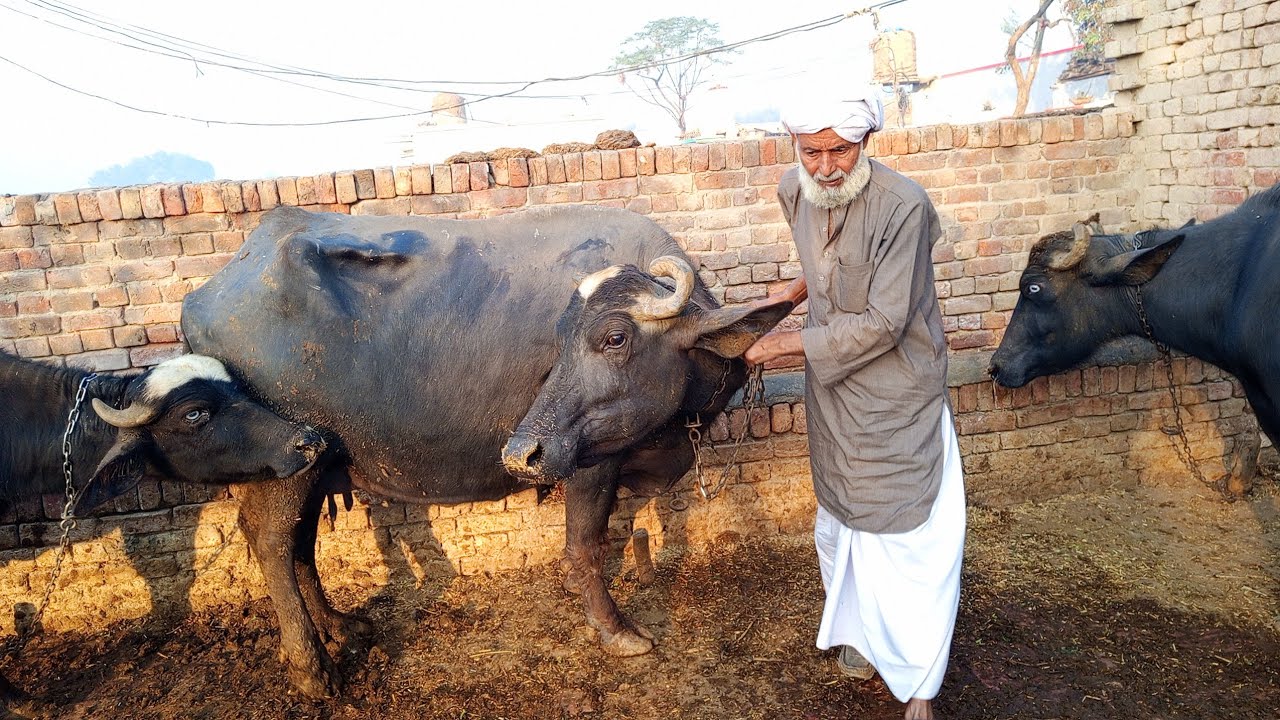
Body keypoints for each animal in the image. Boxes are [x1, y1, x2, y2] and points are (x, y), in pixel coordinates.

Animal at [180, 205, 791, 697]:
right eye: (572, 338)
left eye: (614, 338)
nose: (520, 452)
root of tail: (207, 293)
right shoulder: (590, 461)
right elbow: (585, 545)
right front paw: (616, 630)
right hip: (284, 466)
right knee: (272, 541)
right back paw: (313, 670)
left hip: (316, 461)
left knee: (300, 541)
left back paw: (340, 626)